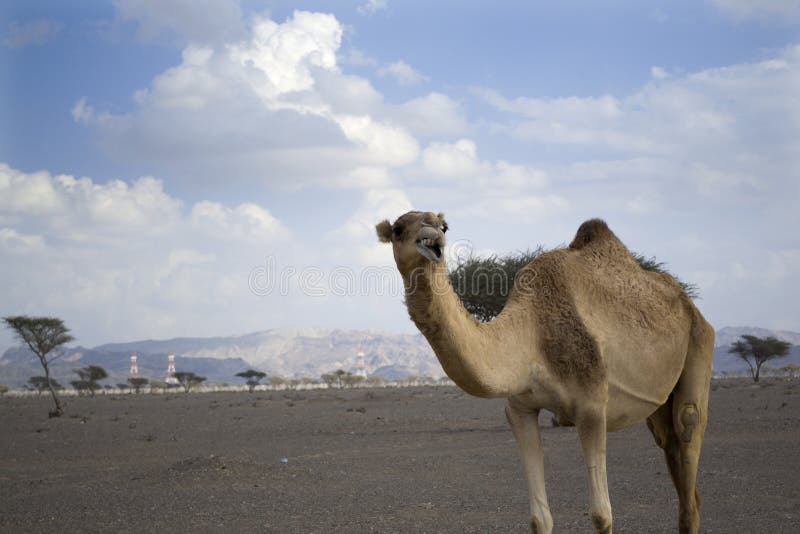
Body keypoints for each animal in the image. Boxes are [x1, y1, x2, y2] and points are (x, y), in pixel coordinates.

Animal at [376, 211, 713, 534]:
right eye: (398, 229)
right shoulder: (520, 408)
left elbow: (601, 515)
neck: (532, 335)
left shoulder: (592, 406)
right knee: (676, 460)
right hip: (659, 405)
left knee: (688, 423)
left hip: (700, 341)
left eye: (444, 226)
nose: (431, 234)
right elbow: (539, 518)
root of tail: (689, 303)